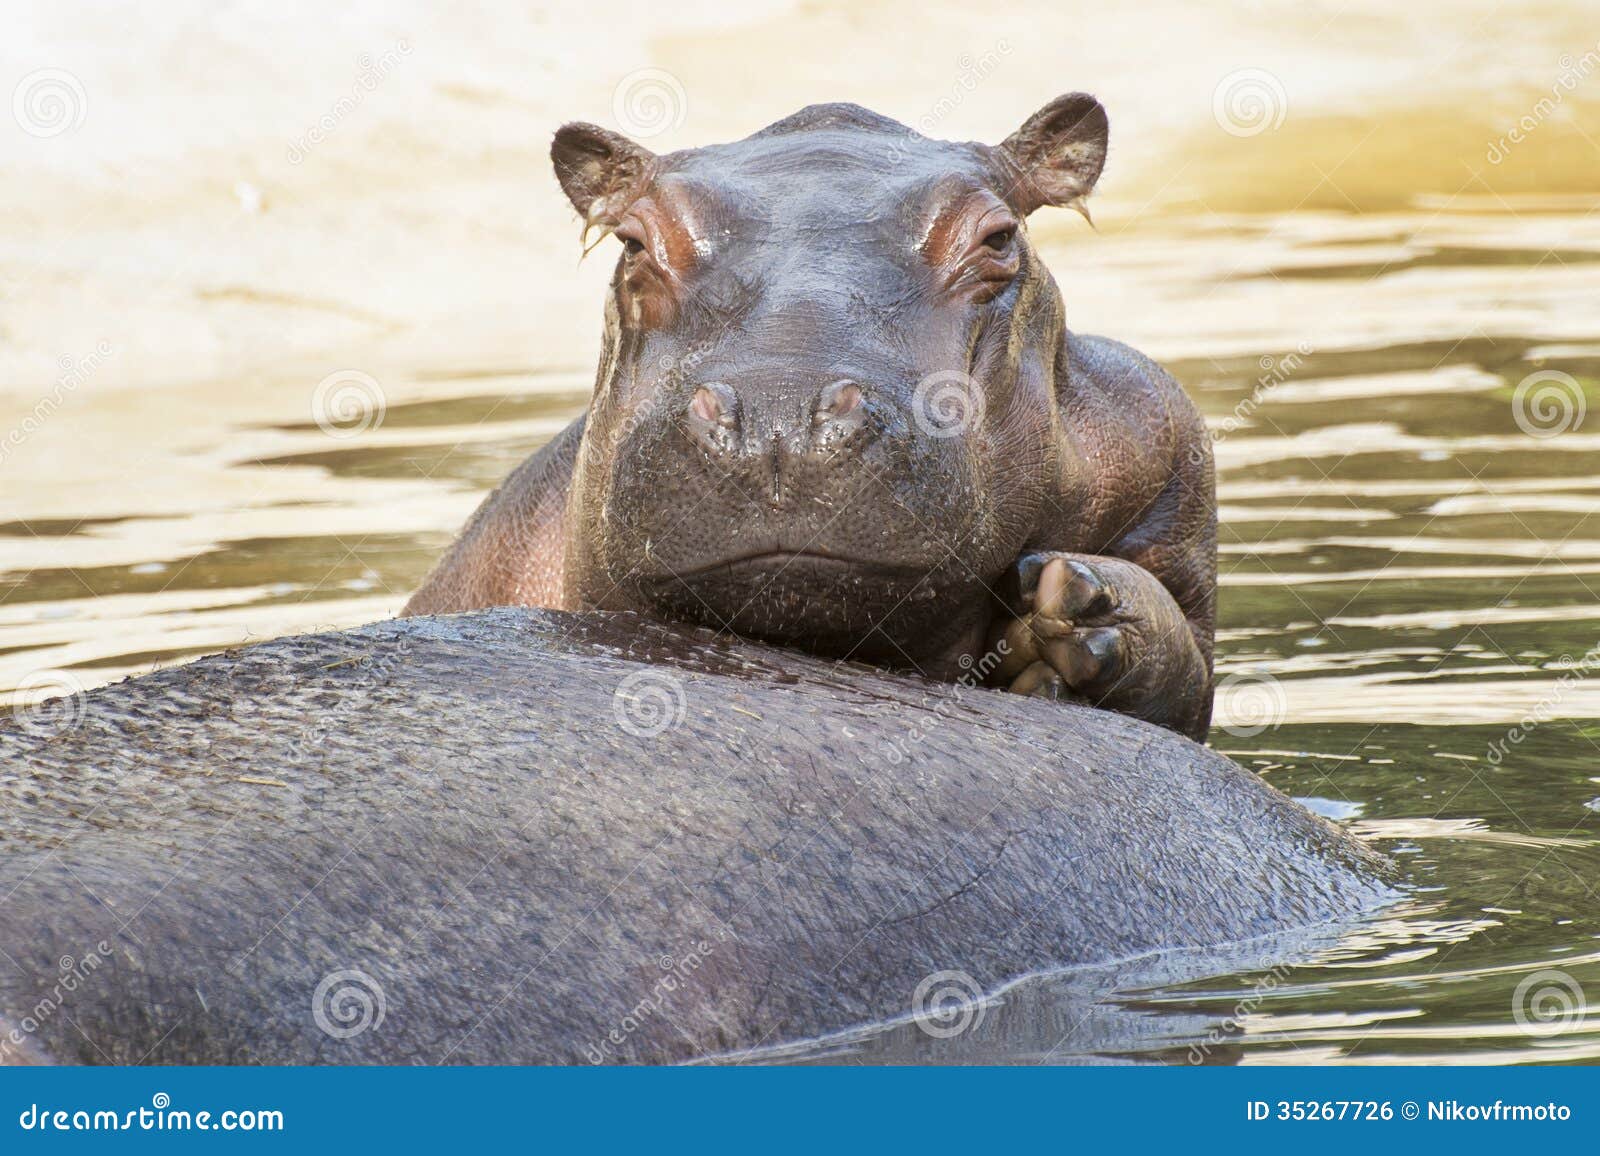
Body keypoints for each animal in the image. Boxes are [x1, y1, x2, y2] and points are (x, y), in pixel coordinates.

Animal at [406, 95, 1217, 741]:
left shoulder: (1166, 449)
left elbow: (1190, 659)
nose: (780, 416)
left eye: (997, 238)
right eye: (633, 242)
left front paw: (1075, 612)